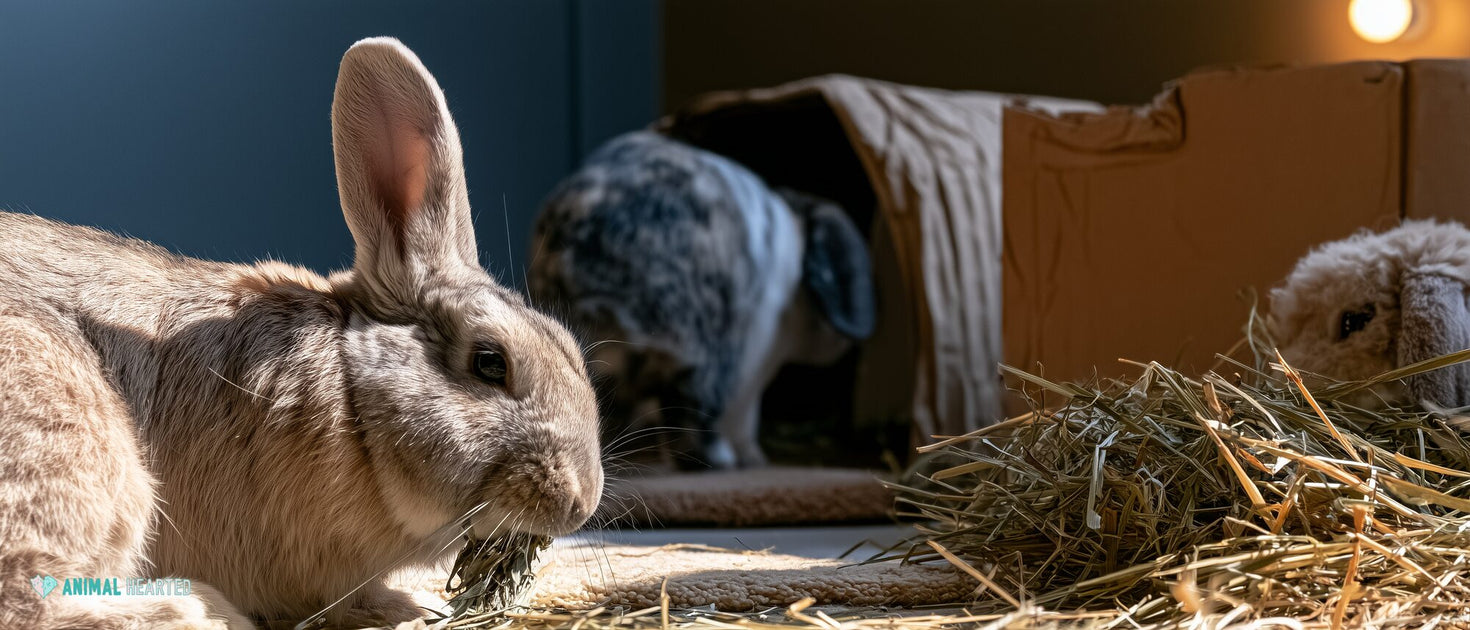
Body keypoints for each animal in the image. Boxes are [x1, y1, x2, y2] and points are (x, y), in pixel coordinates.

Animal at [0, 37, 603, 629]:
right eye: (490, 362)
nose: (582, 502)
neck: (354, 404)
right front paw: (413, 609)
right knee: (28, 598)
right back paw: (203, 611)